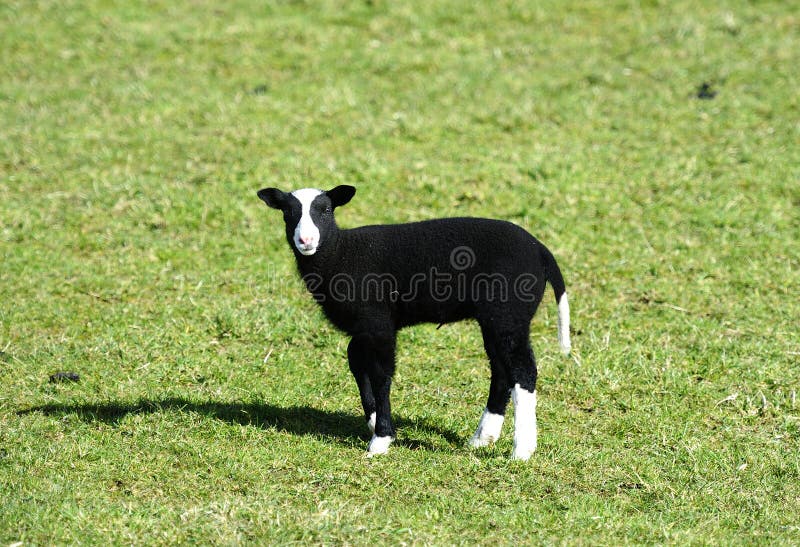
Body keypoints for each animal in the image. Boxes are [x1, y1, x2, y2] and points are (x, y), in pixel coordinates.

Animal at [257, 185, 571, 460]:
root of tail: (541, 251)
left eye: (325, 210)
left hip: (508, 314)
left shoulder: (379, 323)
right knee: (502, 370)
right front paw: (373, 419)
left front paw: (381, 439)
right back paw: (483, 437)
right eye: (288, 212)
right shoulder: (365, 326)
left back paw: (522, 450)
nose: (306, 241)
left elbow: (381, 375)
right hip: (496, 319)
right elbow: (356, 361)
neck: (340, 255)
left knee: (523, 370)